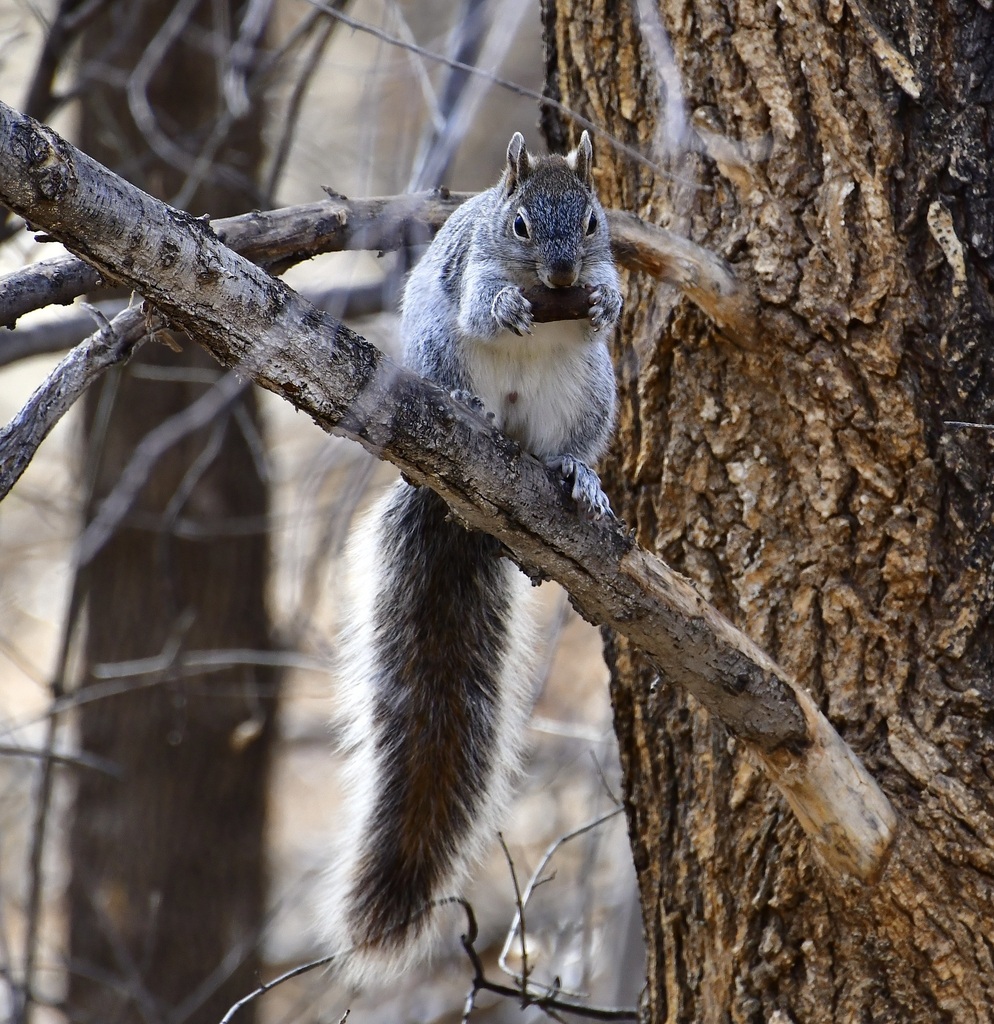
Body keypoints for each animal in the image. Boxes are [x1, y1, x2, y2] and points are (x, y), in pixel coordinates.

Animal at [321, 130, 622, 984]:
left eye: (593, 221)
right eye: (518, 225)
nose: (563, 277)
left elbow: (617, 295)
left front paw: (602, 303)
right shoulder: (470, 270)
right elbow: (483, 302)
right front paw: (511, 307)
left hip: (590, 394)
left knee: (568, 445)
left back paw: (577, 474)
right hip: (434, 347)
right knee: (458, 375)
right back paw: (470, 407)